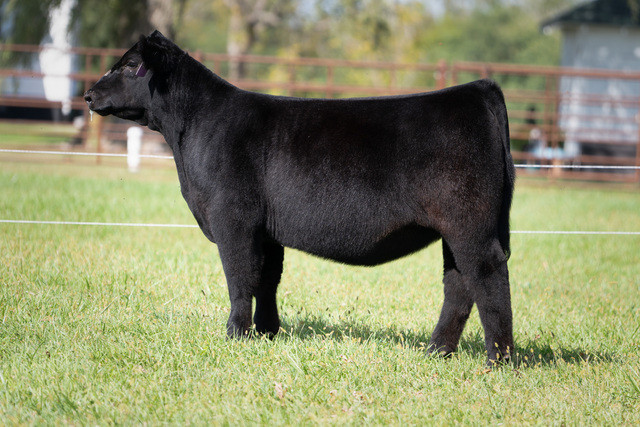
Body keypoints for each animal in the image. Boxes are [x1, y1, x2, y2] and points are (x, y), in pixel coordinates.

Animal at [84, 31, 515, 365]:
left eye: (129, 65)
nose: (88, 94)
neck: (191, 133)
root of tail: (476, 89)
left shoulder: (233, 219)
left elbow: (239, 276)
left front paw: (236, 334)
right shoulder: (265, 230)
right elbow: (266, 279)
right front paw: (266, 333)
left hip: (469, 223)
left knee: (487, 274)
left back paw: (499, 360)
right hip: (458, 230)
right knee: (458, 283)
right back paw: (436, 351)